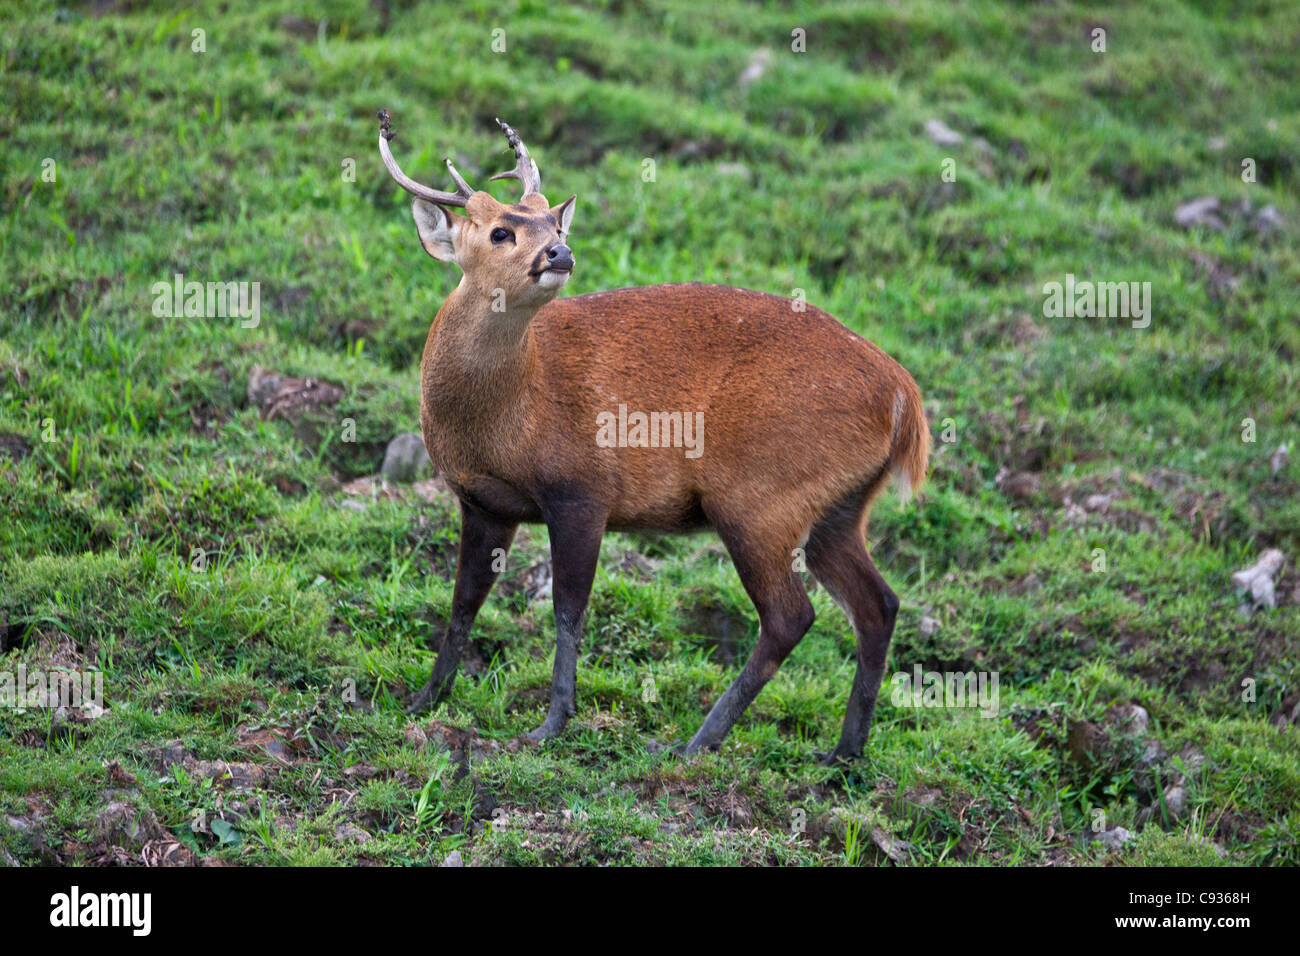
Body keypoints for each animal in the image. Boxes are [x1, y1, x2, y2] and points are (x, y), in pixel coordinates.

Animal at [377, 110, 929, 763]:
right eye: (499, 232)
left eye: (550, 219)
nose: (560, 251)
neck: (508, 414)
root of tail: (904, 400)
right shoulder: (483, 501)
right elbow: (464, 601)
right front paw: (422, 699)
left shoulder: (582, 489)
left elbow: (568, 610)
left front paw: (549, 725)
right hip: (838, 509)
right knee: (878, 604)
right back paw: (842, 755)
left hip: (759, 497)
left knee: (791, 616)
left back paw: (692, 743)